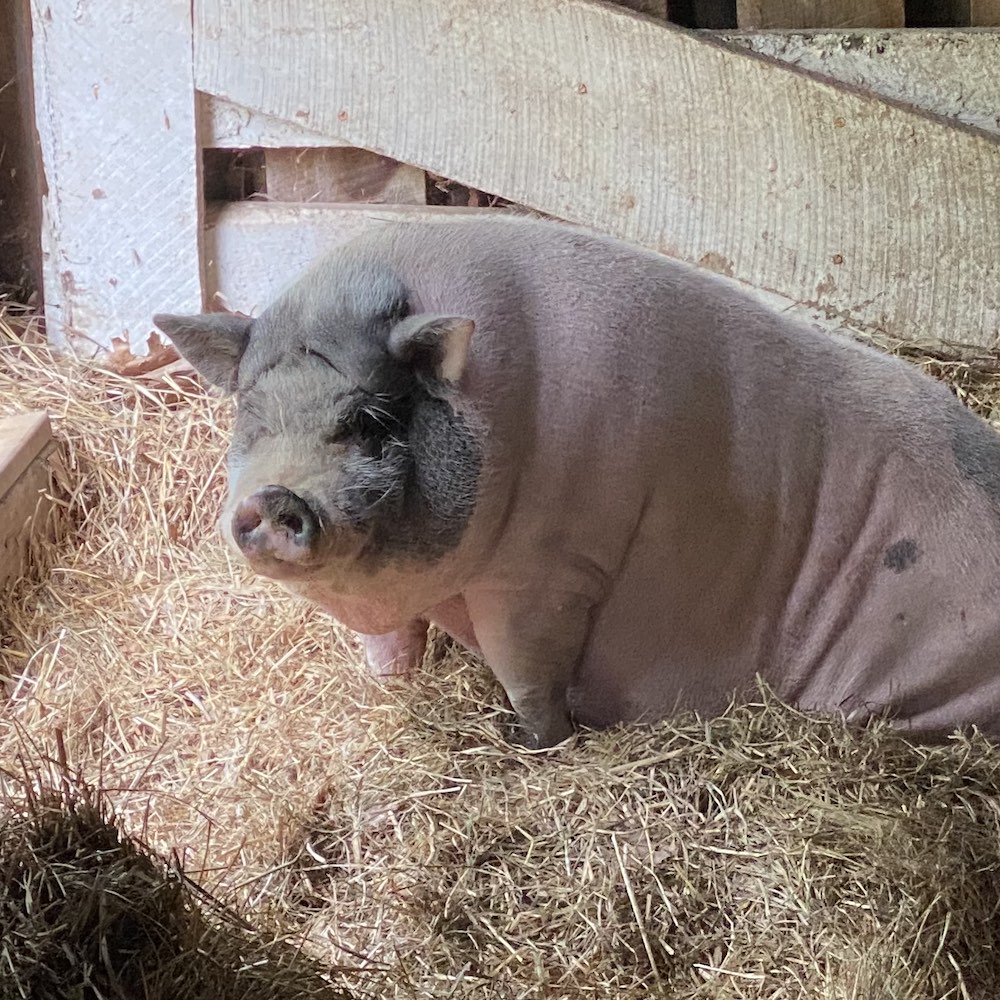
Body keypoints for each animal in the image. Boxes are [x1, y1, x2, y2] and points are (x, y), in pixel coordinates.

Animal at [154, 216, 1000, 748]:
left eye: (368, 420)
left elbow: (529, 674)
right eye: (253, 416)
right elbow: (391, 647)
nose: (274, 498)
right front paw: (392, 697)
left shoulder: (549, 570)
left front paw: (538, 745)